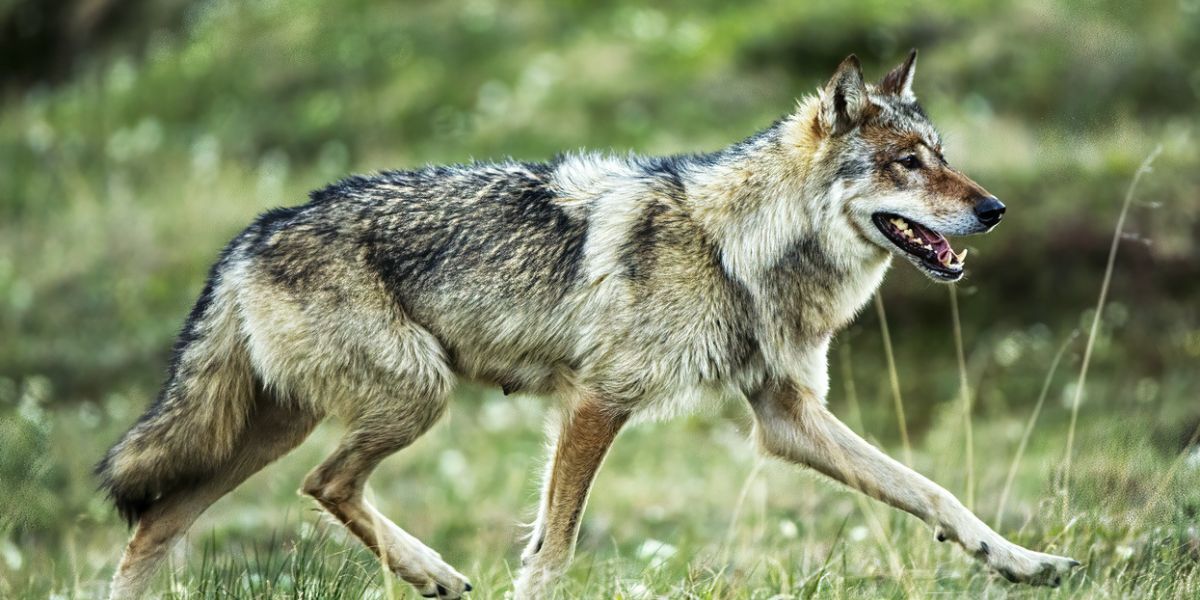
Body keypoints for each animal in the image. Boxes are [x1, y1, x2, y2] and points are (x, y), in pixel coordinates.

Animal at [98, 51, 1079, 599]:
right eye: (908, 164)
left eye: (942, 157)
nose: (994, 209)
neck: (737, 248)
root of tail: (251, 233)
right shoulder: (597, 401)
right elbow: (555, 551)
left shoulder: (786, 416)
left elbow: (933, 492)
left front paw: (1023, 562)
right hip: (413, 399)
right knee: (322, 486)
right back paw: (434, 572)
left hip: (281, 426)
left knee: (159, 526)